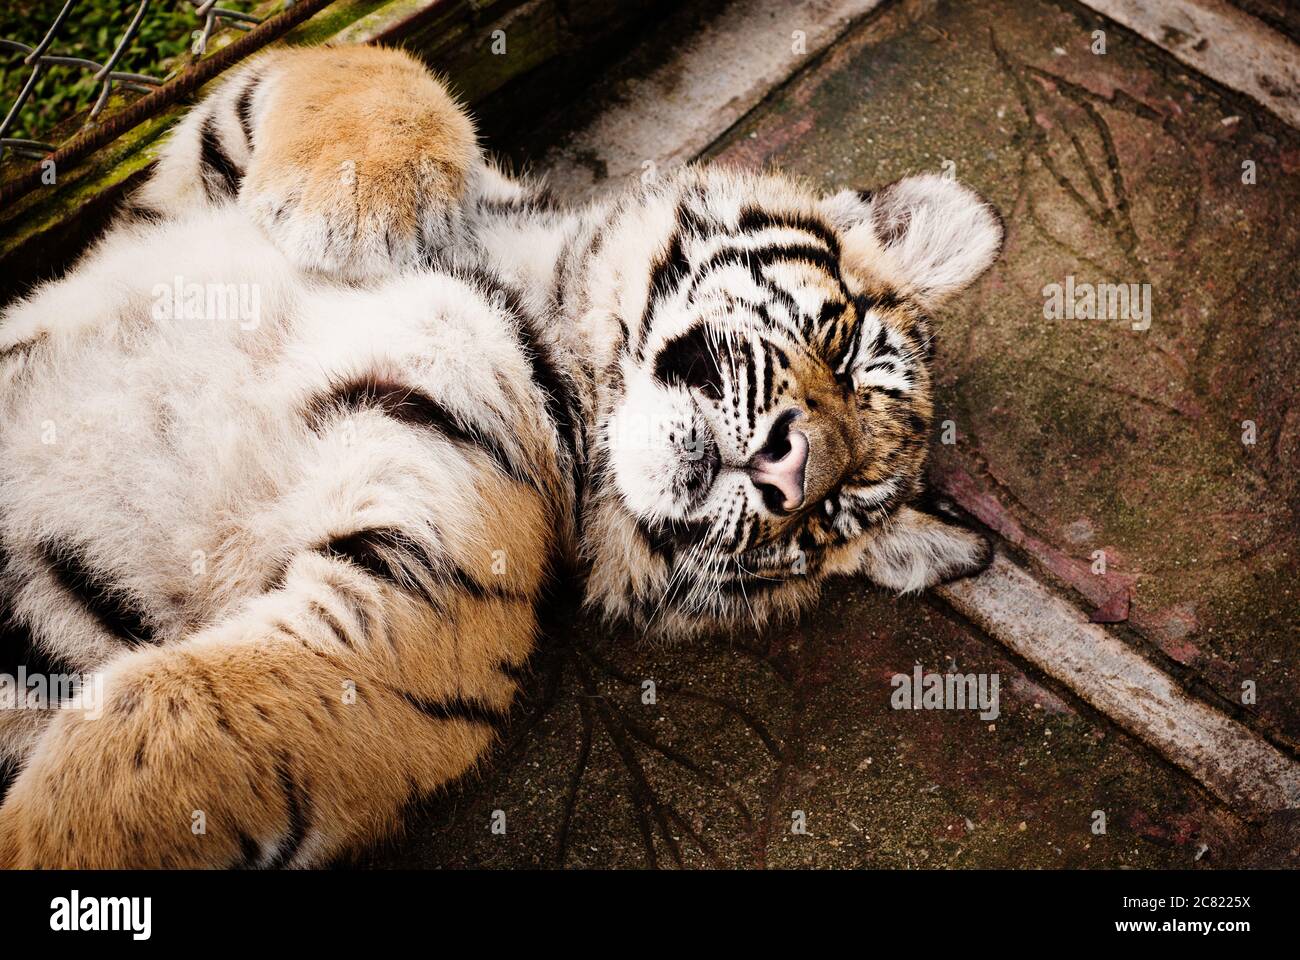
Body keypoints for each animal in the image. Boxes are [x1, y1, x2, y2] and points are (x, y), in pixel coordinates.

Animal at [0, 44, 1002, 868]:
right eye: (841, 346)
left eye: (830, 516)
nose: (792, 474)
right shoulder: (175, 189)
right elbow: (355, 62)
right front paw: (355, 205)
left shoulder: (424, 596)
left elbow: (173, 726)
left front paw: (51, 839)